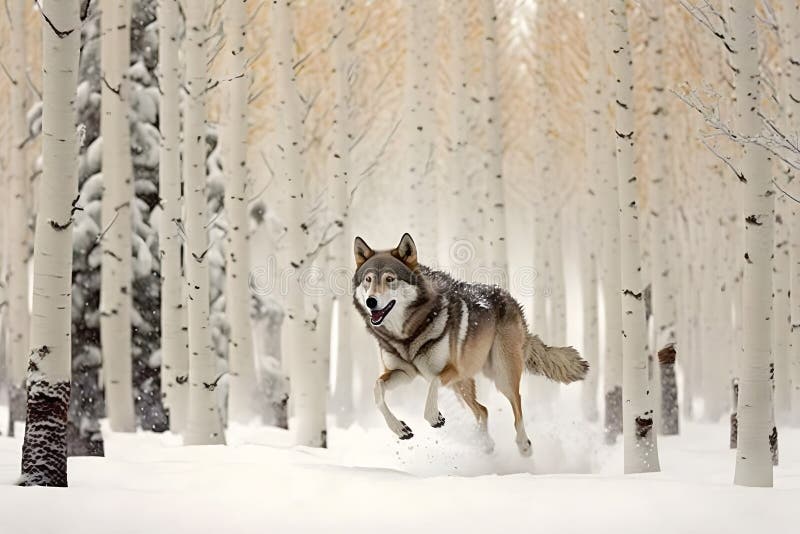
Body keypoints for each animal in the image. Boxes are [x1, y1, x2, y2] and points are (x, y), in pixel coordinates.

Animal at [352, 233, 589, 456]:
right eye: (368, 280)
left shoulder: (451, 369)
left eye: (390, 279)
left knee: (516, 404)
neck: (406, 335)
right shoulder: (404, 373)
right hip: (462, 385)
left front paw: (435, 417)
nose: (371, 302)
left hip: (499, 375)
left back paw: (524, 447)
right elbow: (377, 390)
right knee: (483, 410)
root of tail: (512, 302)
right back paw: (485, 444)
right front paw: (401, 429)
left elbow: (432, 387)